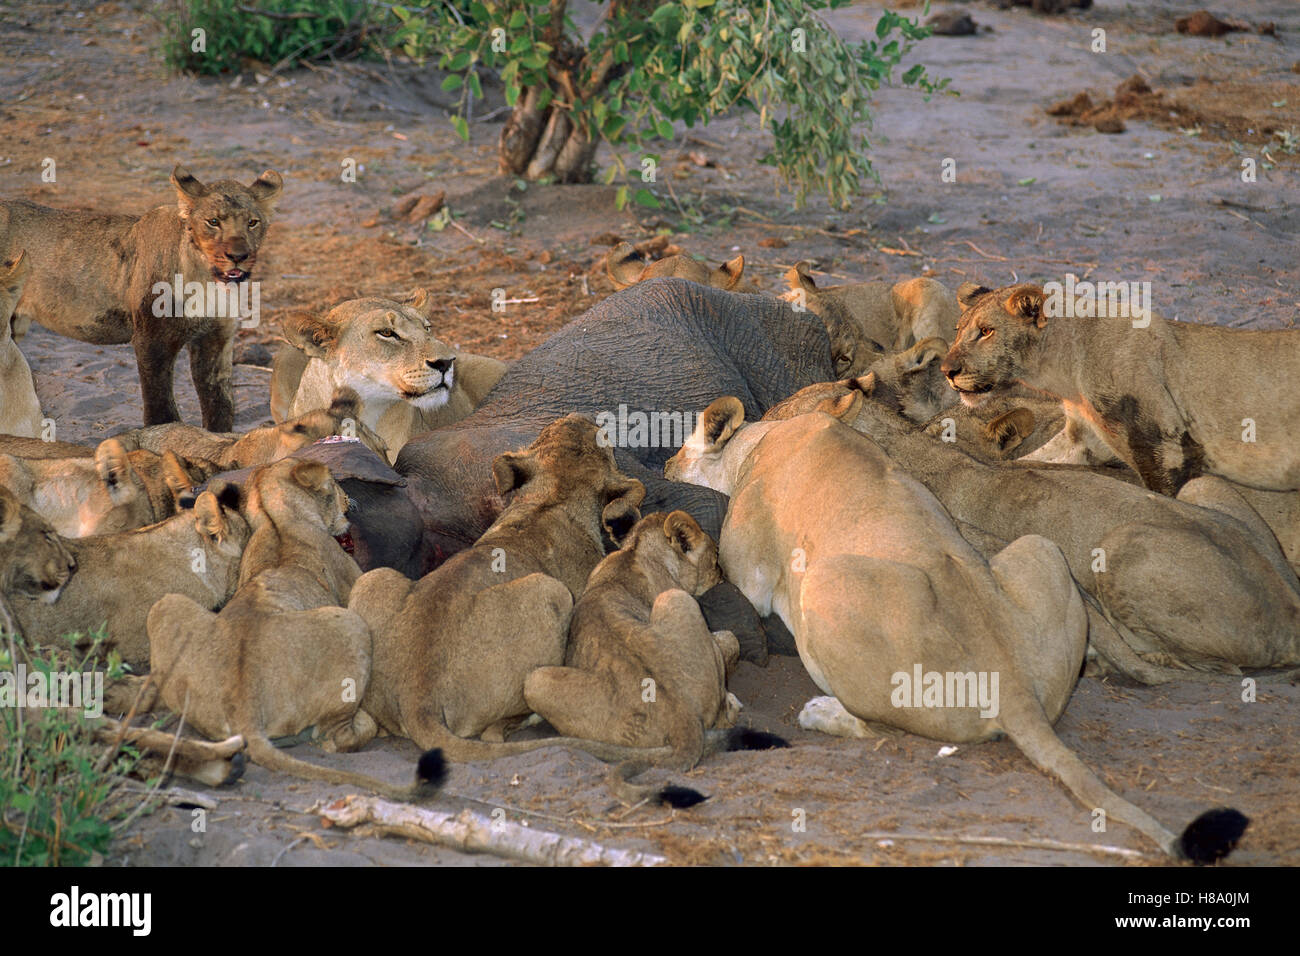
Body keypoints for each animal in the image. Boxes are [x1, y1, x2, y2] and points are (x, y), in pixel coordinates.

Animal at [0, 165, 283, 431]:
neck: (207, 278)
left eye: (252, 222)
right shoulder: (152, 340)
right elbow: (161, 410)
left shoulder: (216, 339)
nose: (238, 256)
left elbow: (220, 406)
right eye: (213, 221)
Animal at [139, 457, 445, 800]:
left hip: (166, 605)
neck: (274, 516)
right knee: (334, 738)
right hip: (349, 624)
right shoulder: (349, 576)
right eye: (334, 482)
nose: (348, 499)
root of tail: (243, 705)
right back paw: (367, 725)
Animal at [663, 397, 1251, 862]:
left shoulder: (752, 573)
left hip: (825, 583)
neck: (761, 439)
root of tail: (1008, 683)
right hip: (1038, 549)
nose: (664, 466)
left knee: (877, 726)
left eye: (678, 453)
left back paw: (821, 713)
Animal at [941, 282, 1300, 495]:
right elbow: (1032, 458)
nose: (947, 371)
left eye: (986, 331)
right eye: (958, 330)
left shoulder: (1166, 450)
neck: (1065, 373)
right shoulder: (1083, 440)